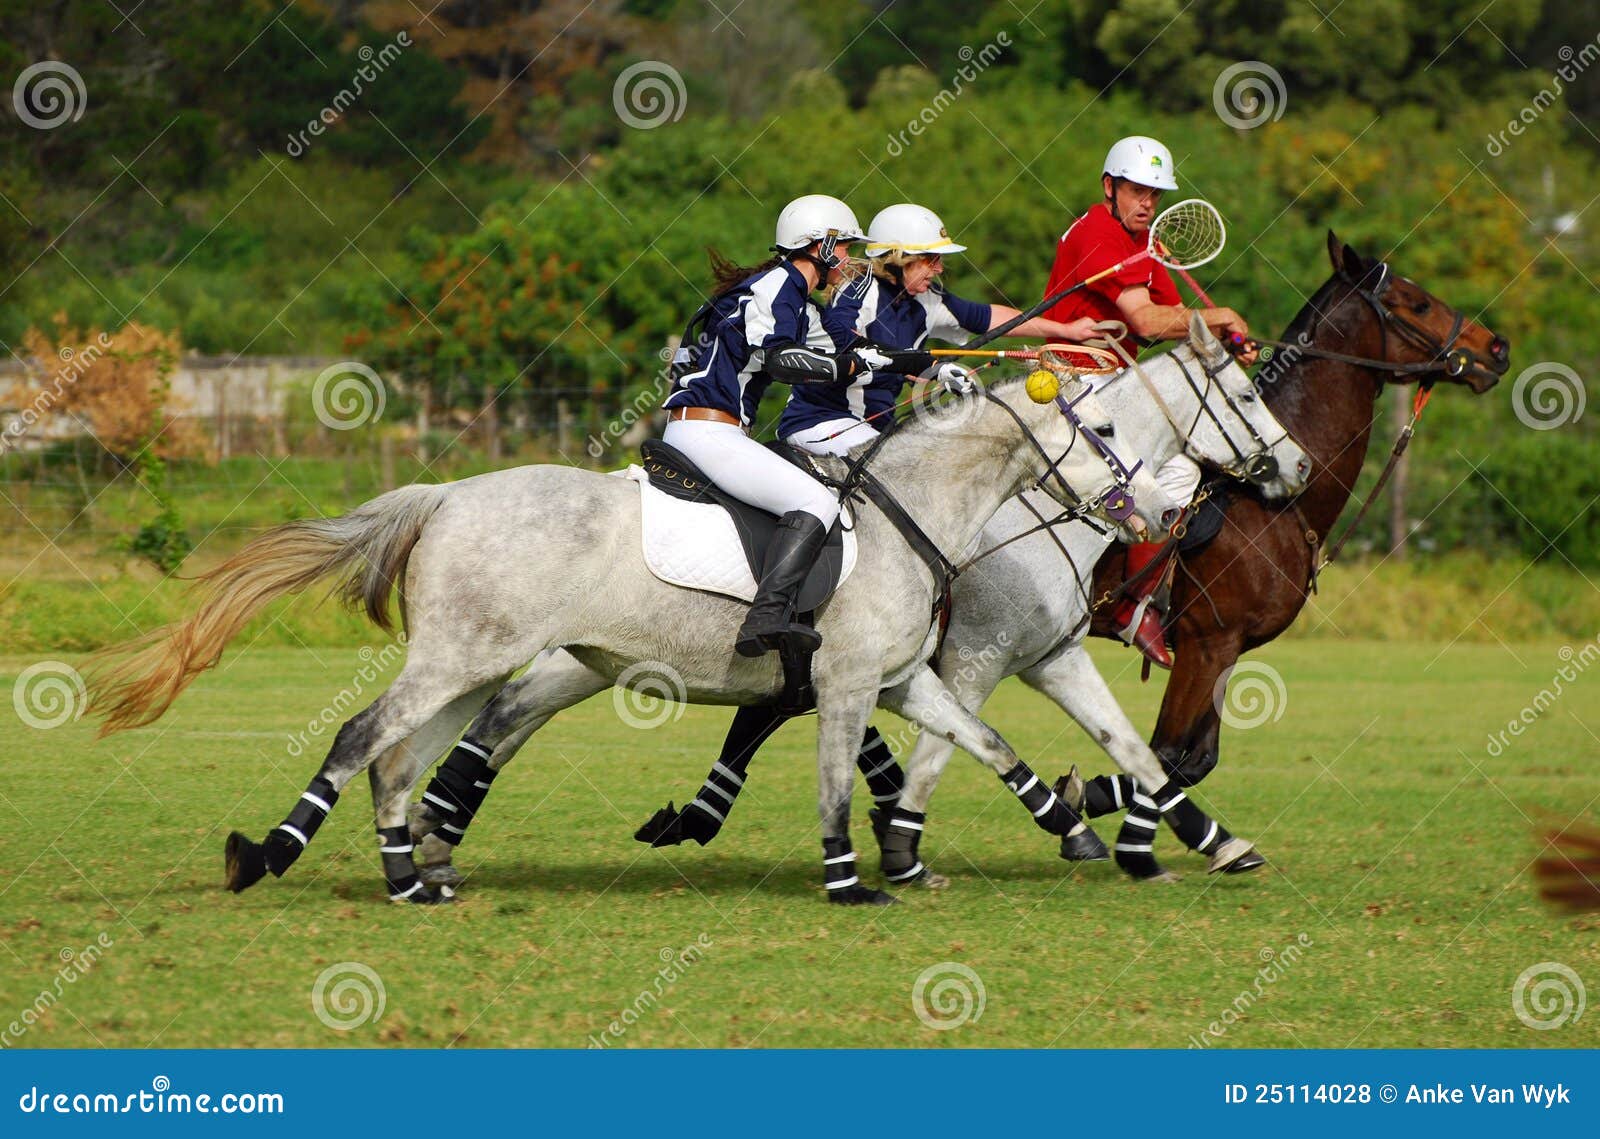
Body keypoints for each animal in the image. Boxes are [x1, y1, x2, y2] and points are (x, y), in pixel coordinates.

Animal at [86, 372, 1183, 906]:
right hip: (460, 657)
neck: (906, 517)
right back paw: (286, 858)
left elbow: (985, 743)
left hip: (471, 659)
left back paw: (410, 872)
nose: (1153, 515)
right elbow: (839, 781)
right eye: (1103, 437)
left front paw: (1072, 820)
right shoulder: (843, 682)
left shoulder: (902, 678)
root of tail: (444, 494)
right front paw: (850, 881)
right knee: (365, 736)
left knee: (401, 755)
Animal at [411, 316, 1312, 888]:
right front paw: (902, 845)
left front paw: (1210, 840)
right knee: (499, 713)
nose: (1298, 467)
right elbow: (945, 752)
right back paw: (434, 823)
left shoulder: (1048, 657)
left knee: (506, 716)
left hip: (601, 654)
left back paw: (437, 825)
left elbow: (1129, 746)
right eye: (1246, 395)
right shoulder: (972, 660)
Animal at [1076, 233, 1510, 874]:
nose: (1497, 348)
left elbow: (1194, 757)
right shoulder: (1207, 641)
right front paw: (1120, 831)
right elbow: (1169, 752)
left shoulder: (1226, 650)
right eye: (1417, 302)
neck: (1275, 499)